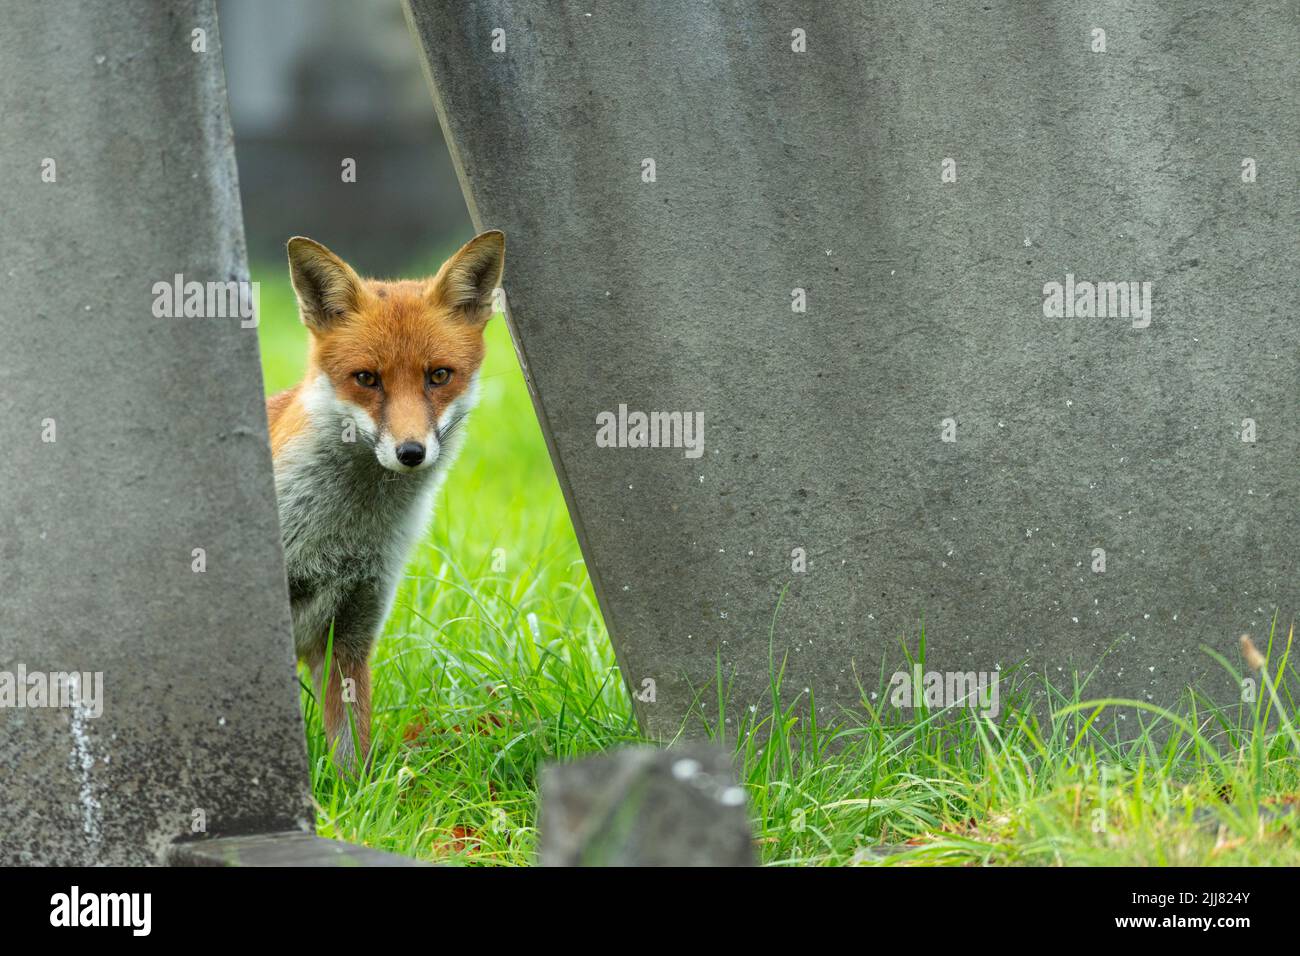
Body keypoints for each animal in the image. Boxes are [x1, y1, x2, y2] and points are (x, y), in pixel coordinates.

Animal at [266, 230, 505, 769]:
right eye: (367, 378)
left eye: (439, 376)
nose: (411, 452)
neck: (340, 534)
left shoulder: (351, 632)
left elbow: (353, 757)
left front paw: (355, 792)